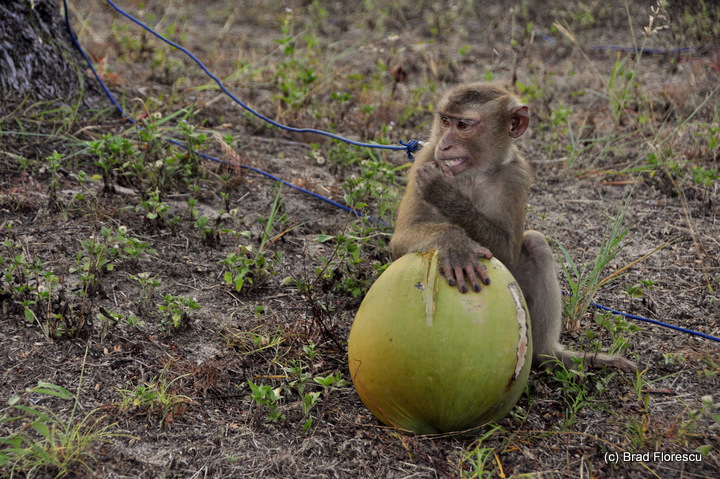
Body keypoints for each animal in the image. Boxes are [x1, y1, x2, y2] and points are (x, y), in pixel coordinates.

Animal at [390, 82, 637, 374]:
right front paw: (454, 242)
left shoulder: (517, 176)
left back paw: (548, 355)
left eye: (463, 125)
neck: (474, 173)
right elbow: (401, 239)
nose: (444, 144)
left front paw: (444, 193)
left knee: (534, 244)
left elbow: (508, 251)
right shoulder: (425, 158)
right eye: (445, 121)